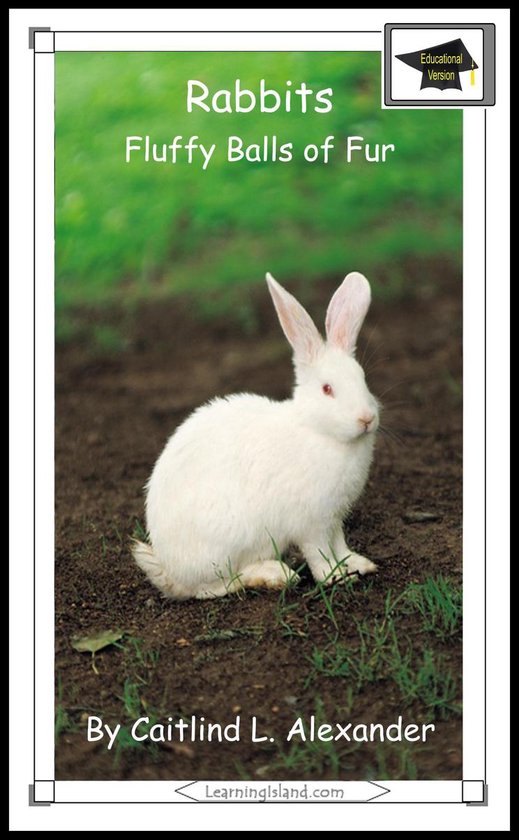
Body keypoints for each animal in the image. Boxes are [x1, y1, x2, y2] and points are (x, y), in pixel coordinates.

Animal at [133, 271, 380, 600]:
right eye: (327, 389)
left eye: (363, 379)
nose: (366, 418)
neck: (317, 430)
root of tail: (172, 570)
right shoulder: (310, 523)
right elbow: (318, 553)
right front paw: (334, 576)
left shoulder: (334, 518)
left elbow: (339, 544)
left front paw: (358, 564)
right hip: (229, 541)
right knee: (214, 587)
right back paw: (274, 575)